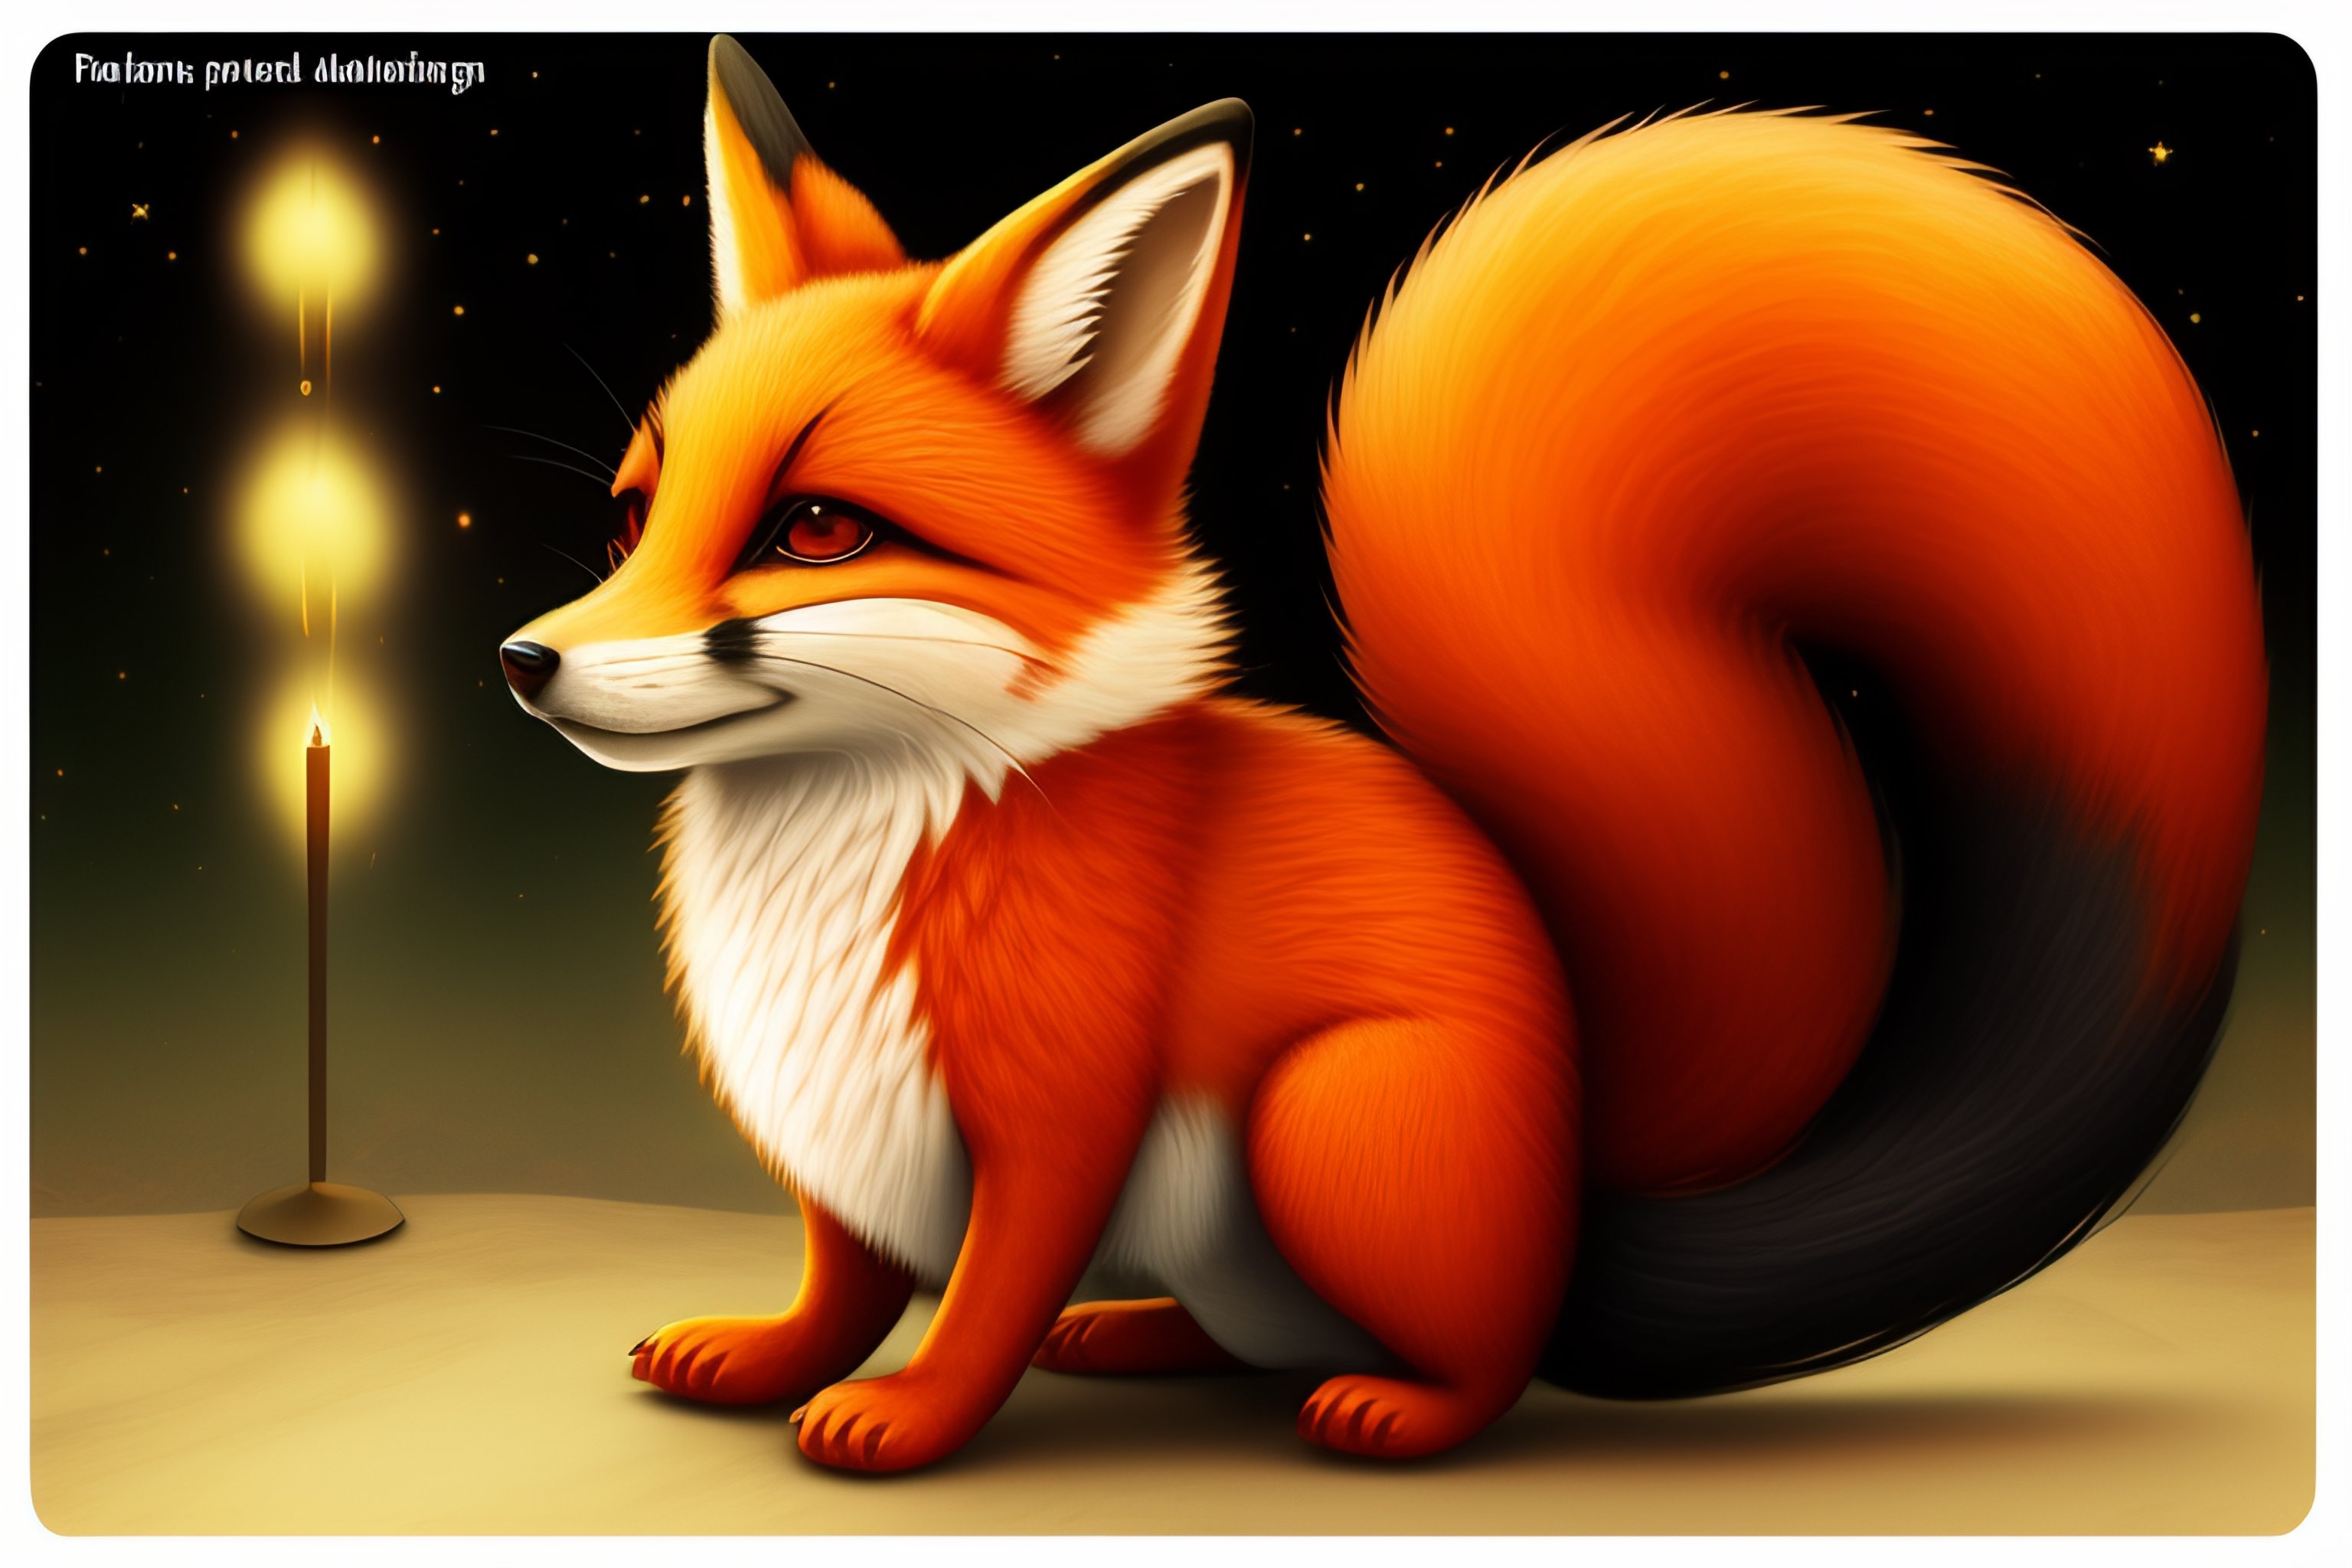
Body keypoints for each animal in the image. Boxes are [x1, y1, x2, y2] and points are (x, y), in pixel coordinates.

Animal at [500, 36, 2267, 1473]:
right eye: (633, 518)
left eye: (814, 528)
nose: (523, 665)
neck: (880, 836)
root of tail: (1574, 1202)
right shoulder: (838, 1120)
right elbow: (843, 1272)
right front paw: (772, 1358)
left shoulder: (1056, 1123)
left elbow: (984, 1296)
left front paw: (912, 1418)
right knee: (1261, 1336)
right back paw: (1143, 1336)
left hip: (1322, 1112)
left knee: (1487, 1362)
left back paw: (1399, 1413)